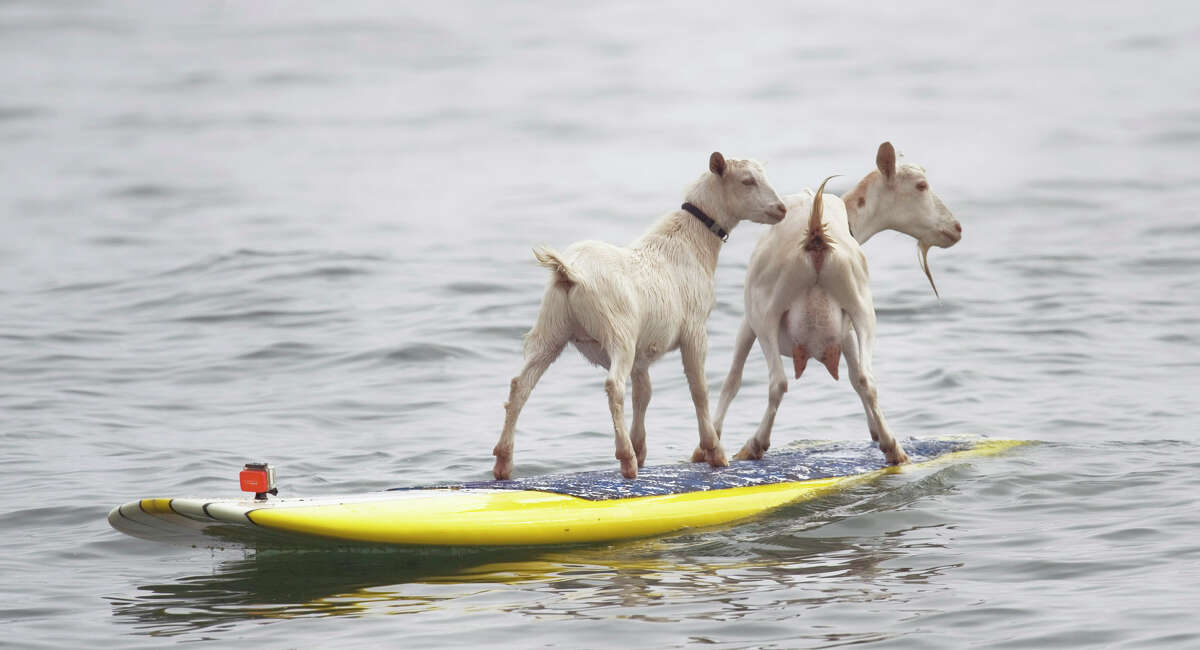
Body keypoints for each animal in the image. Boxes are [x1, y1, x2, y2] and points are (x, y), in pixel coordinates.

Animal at [493, 152, 787, 480]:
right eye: (747, 181)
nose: (781, 209)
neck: (690, 242)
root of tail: (569, 272)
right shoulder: (694, 329)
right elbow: (698, 389)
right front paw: (713, 451)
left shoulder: (643, 350)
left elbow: (643, 393)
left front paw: (642, 447)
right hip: (617, 329)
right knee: (613, 385)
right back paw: (626, 460)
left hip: (551, 327)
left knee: (521, 384)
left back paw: (503, 462)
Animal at [701, 142, 961, 465]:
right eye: (921, 185)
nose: (956, 228)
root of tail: (817, 233)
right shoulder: (845, 329)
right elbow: (855, 377)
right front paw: (875, 431)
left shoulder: (748, 320)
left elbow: (732, 379)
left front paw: (706, 445)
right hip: (861, 305)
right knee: (866, 377)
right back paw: (894, 448)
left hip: (766, 313)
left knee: (778, 382)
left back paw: (755, 444)